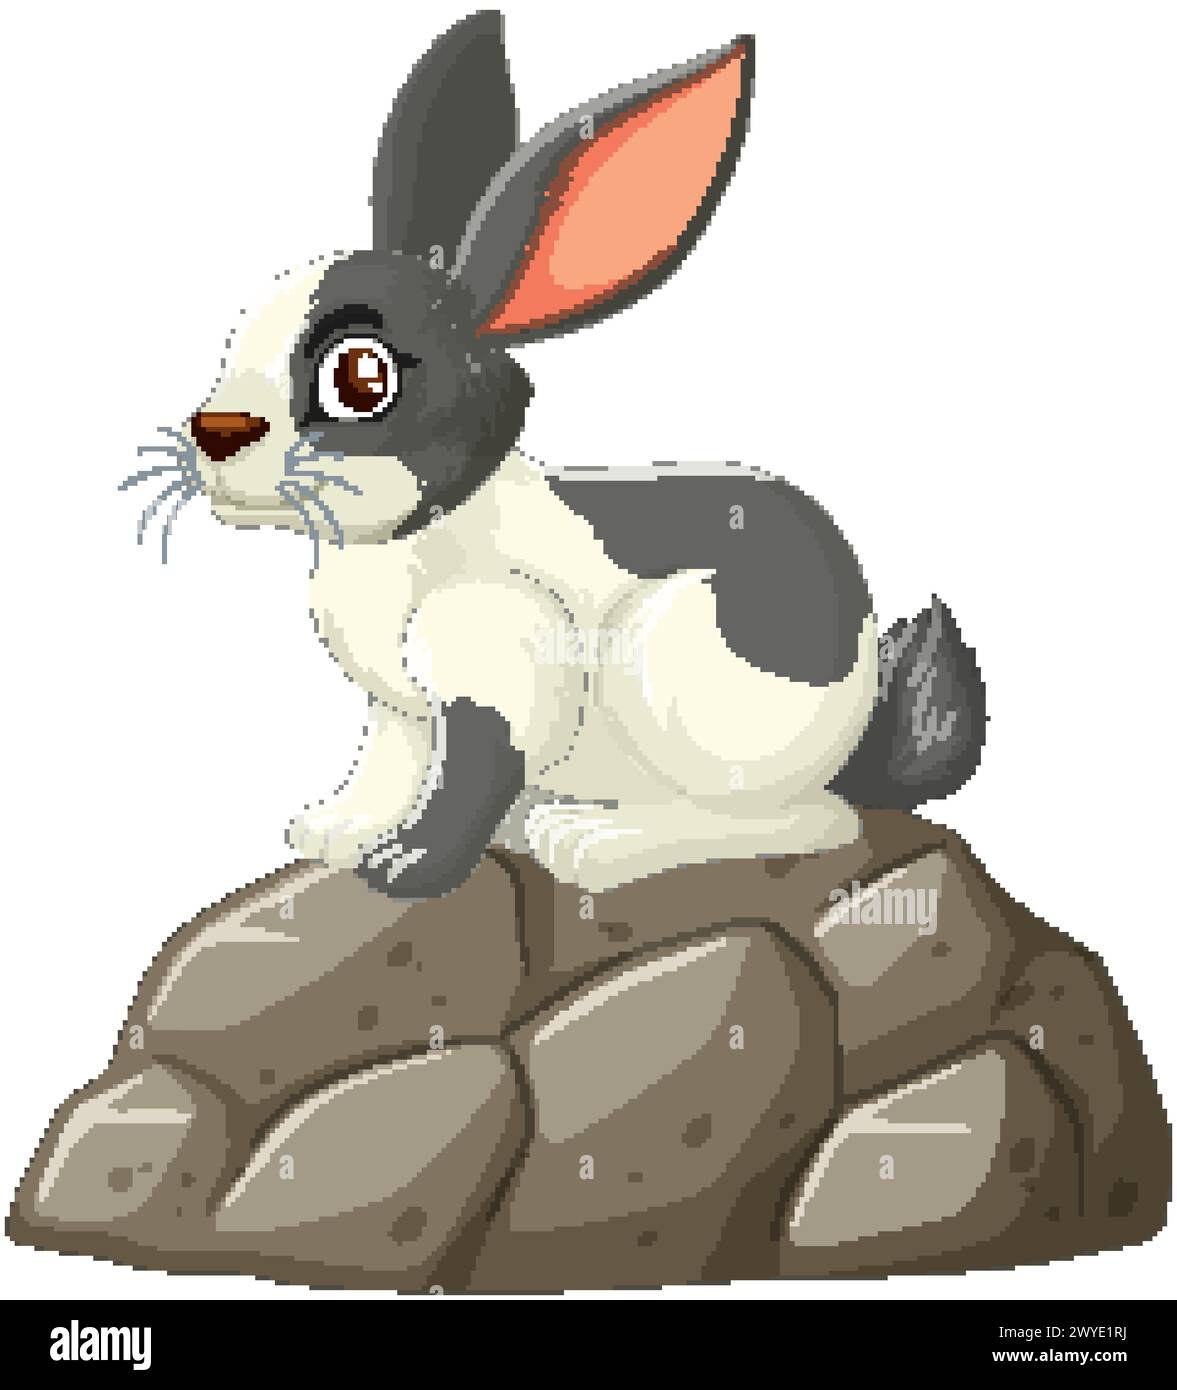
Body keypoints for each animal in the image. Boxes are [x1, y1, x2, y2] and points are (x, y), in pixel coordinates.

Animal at [122, 11, 985, 899]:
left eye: (361, 376)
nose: (217, 430)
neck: (419, 536)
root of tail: (856, 707)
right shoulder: (398, 714)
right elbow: (386, 768)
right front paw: (333, 832)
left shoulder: (498, 663)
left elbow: (470, 775)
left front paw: (404, 867)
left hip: (683, 673)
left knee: (805, 822)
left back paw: (593, 840)